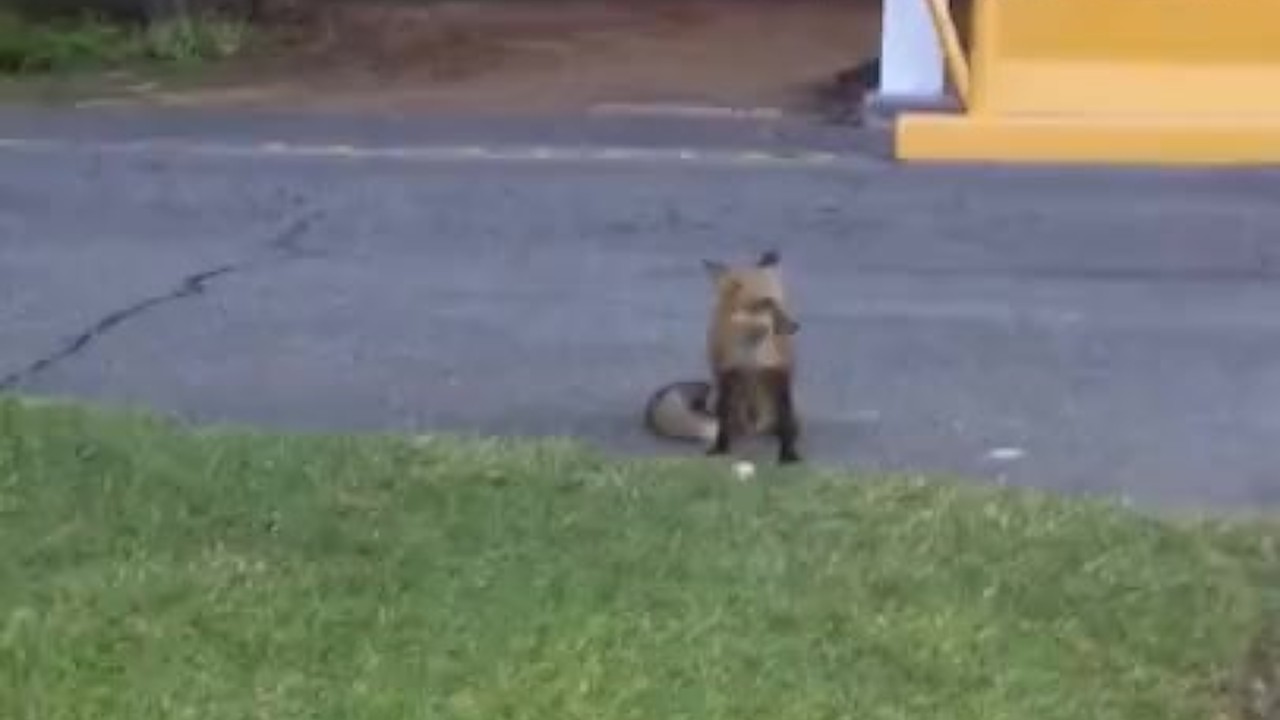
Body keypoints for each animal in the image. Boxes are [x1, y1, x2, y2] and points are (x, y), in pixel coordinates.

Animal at [643, 249, 803, 464]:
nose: (795, 326)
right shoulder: (726, 374)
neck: (750, 354)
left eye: (781, 301)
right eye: (766, 302)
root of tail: (754, 429)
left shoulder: (780, 373)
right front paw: (720, 450)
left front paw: (788, 456)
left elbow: (787, 424)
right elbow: (723, 423)